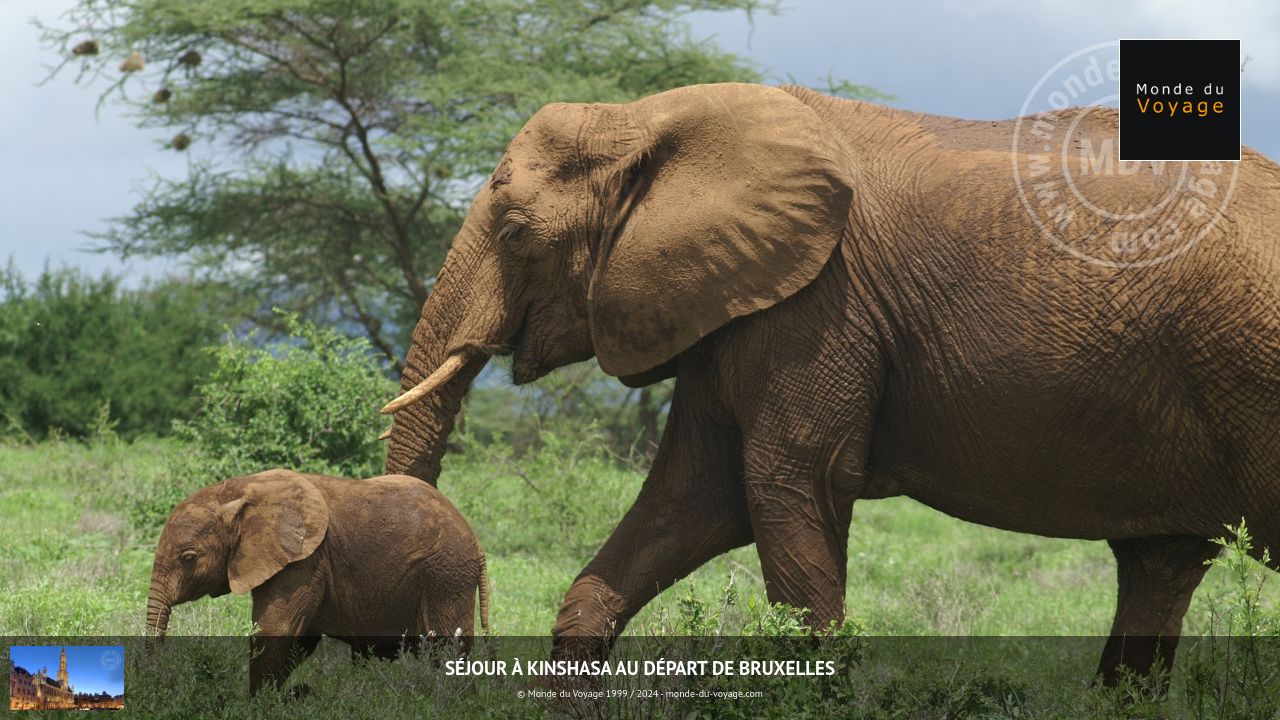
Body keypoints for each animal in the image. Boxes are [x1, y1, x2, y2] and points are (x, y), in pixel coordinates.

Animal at [145, 468, 488, 691]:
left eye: (188, 558)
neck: (238, 490)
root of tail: (477, 544)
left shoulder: (304, 561)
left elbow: (276, 630)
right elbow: (299, 642)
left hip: (446, 576)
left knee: (446, 649)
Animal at [378, 82, 1280, 676]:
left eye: (516, 233)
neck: (646, 118)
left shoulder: (818, 307)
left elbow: (787, 486)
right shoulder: (737, 304)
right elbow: (697, 498)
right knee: (1158, 569)